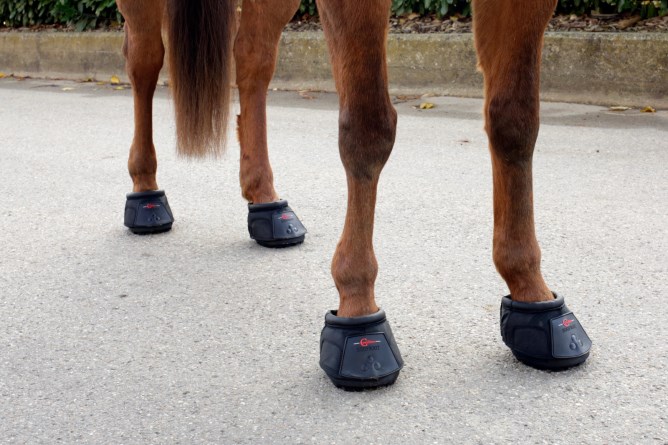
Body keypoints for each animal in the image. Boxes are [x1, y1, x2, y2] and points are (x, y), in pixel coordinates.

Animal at [115, 0, 592, 389]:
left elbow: (515, 119)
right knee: (144, 58)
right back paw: (145, 193)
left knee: (252, 58)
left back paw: (266, 200)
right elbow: (368, 124)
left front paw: (531, 292)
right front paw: (357, 305)